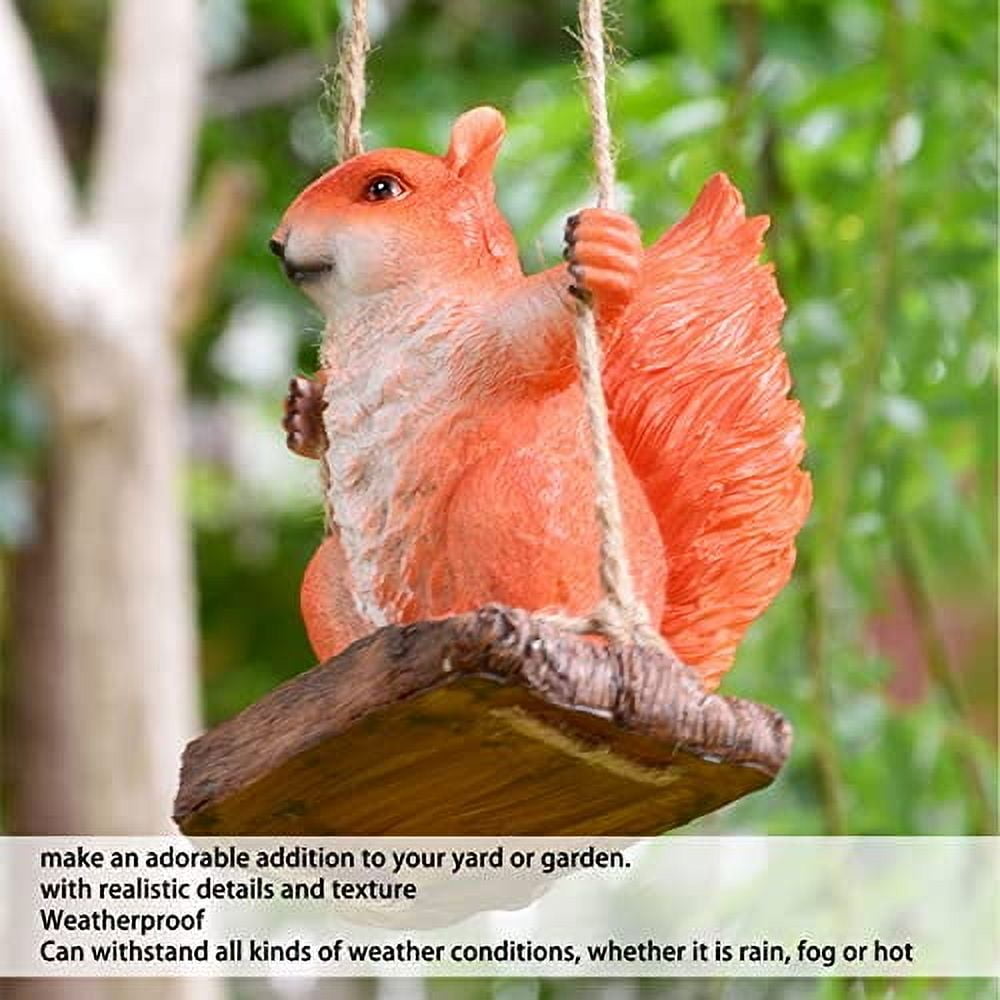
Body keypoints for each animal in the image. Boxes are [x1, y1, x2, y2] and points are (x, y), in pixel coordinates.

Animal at [271, 106, 811, 691]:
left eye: (382, 188)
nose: (277, 241)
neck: (378, 315)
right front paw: (304, 414)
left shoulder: (497, 335)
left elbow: (548, 326)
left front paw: (607, 256)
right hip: (334, 578)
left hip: (511, 500)